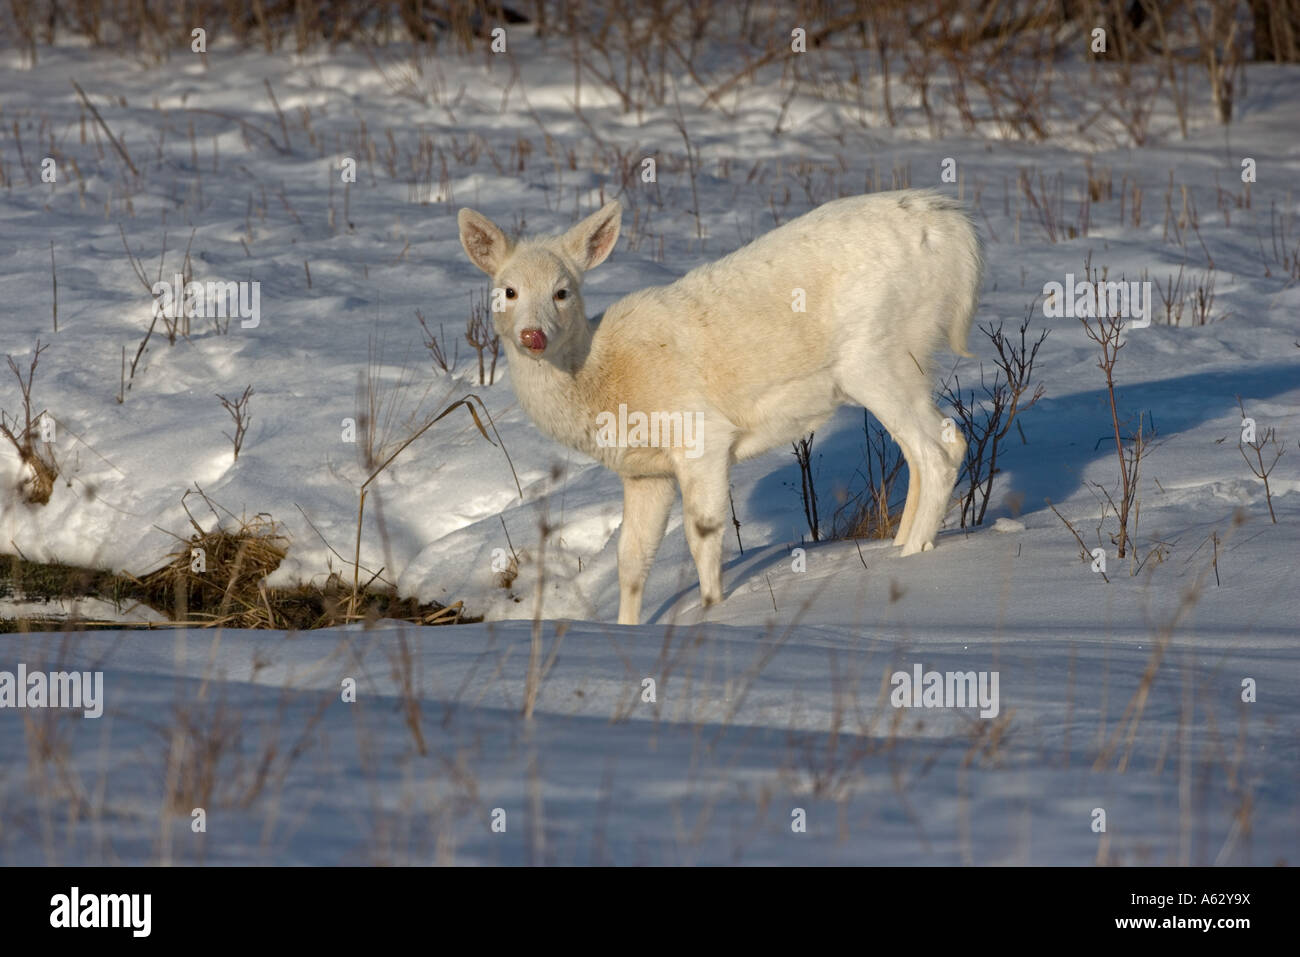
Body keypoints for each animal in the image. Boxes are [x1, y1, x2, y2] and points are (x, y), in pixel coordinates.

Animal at [457, 189, 983, 625]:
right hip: (905, 361)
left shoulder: (700, 436)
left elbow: (703, 538)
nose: (533, 335)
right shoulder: (644, 471)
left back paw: (912, 557)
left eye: (562, 291)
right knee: (925, 449)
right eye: (508, 290)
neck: (602, 375)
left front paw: (712, 611)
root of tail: (957, 234)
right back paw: (902, 544)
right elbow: (632, 560)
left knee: (941, 448)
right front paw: (628, 628)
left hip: (878, 355)